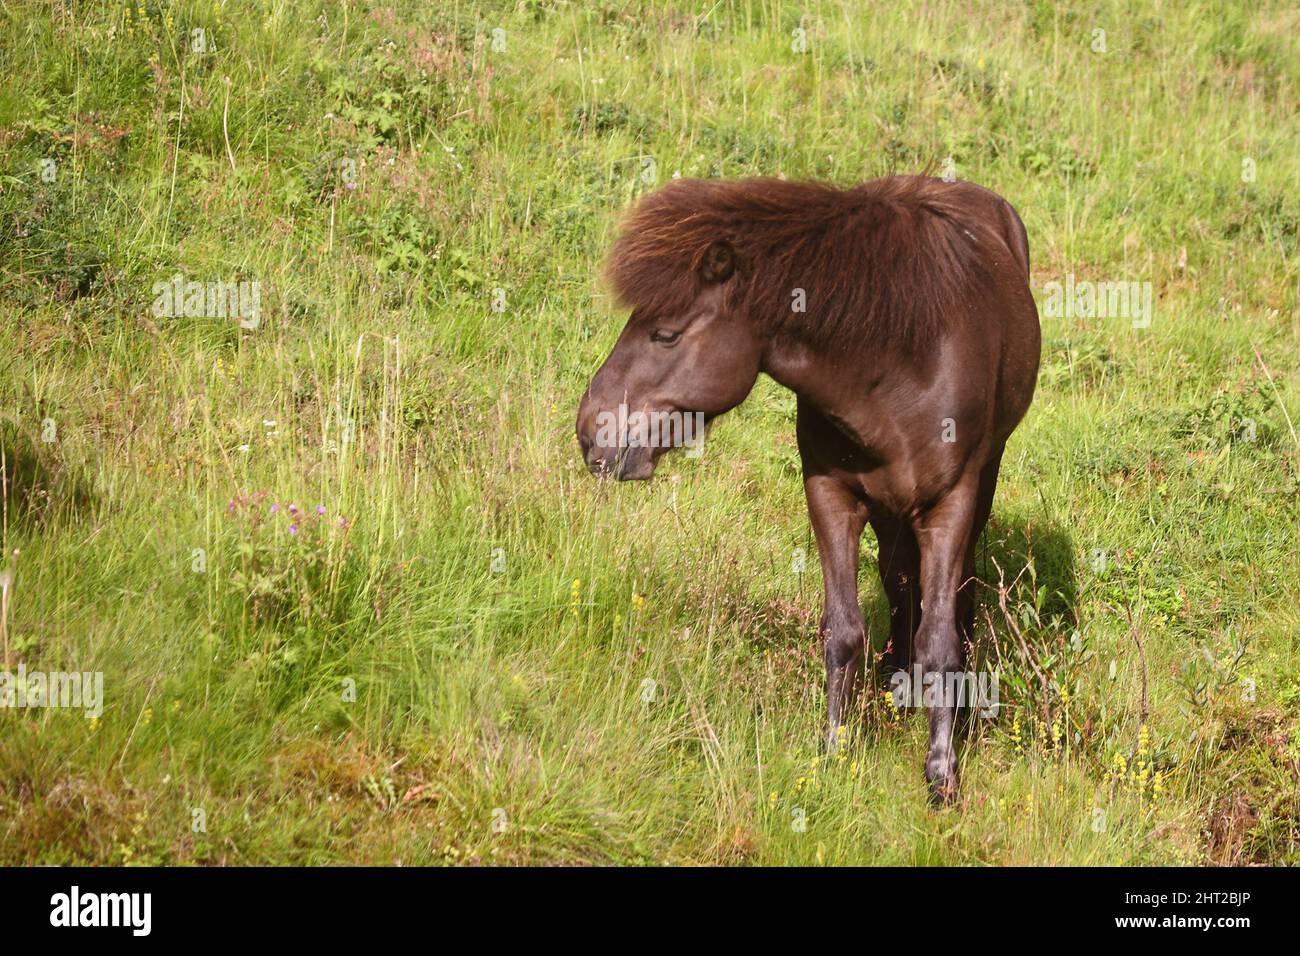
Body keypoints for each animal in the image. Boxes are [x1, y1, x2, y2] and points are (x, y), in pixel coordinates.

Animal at [575, 175, 1041, 804]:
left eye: (665, 333)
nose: (588, 431)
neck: (900, 365)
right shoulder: (831, 496)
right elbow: (842, 630)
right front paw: (833, 753)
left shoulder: (950, 504)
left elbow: (941, 638)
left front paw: (942, 775)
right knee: (900, 583)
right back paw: (899, 689)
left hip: (979, 483)